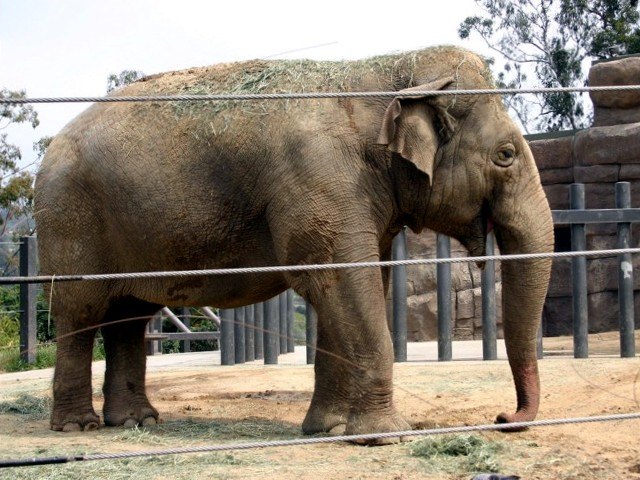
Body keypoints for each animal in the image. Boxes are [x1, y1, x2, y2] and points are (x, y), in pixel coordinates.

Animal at [34, 45, 553, 441]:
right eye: (506, 155)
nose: (503, 417)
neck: (386, 71)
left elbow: (357, 286)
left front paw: (328, 429)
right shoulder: (318, 181)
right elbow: (343, 281)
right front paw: (384, 435)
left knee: (128, 317)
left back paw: (136, 422)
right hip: (68, 220)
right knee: (80, 313)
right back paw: (78, 427)